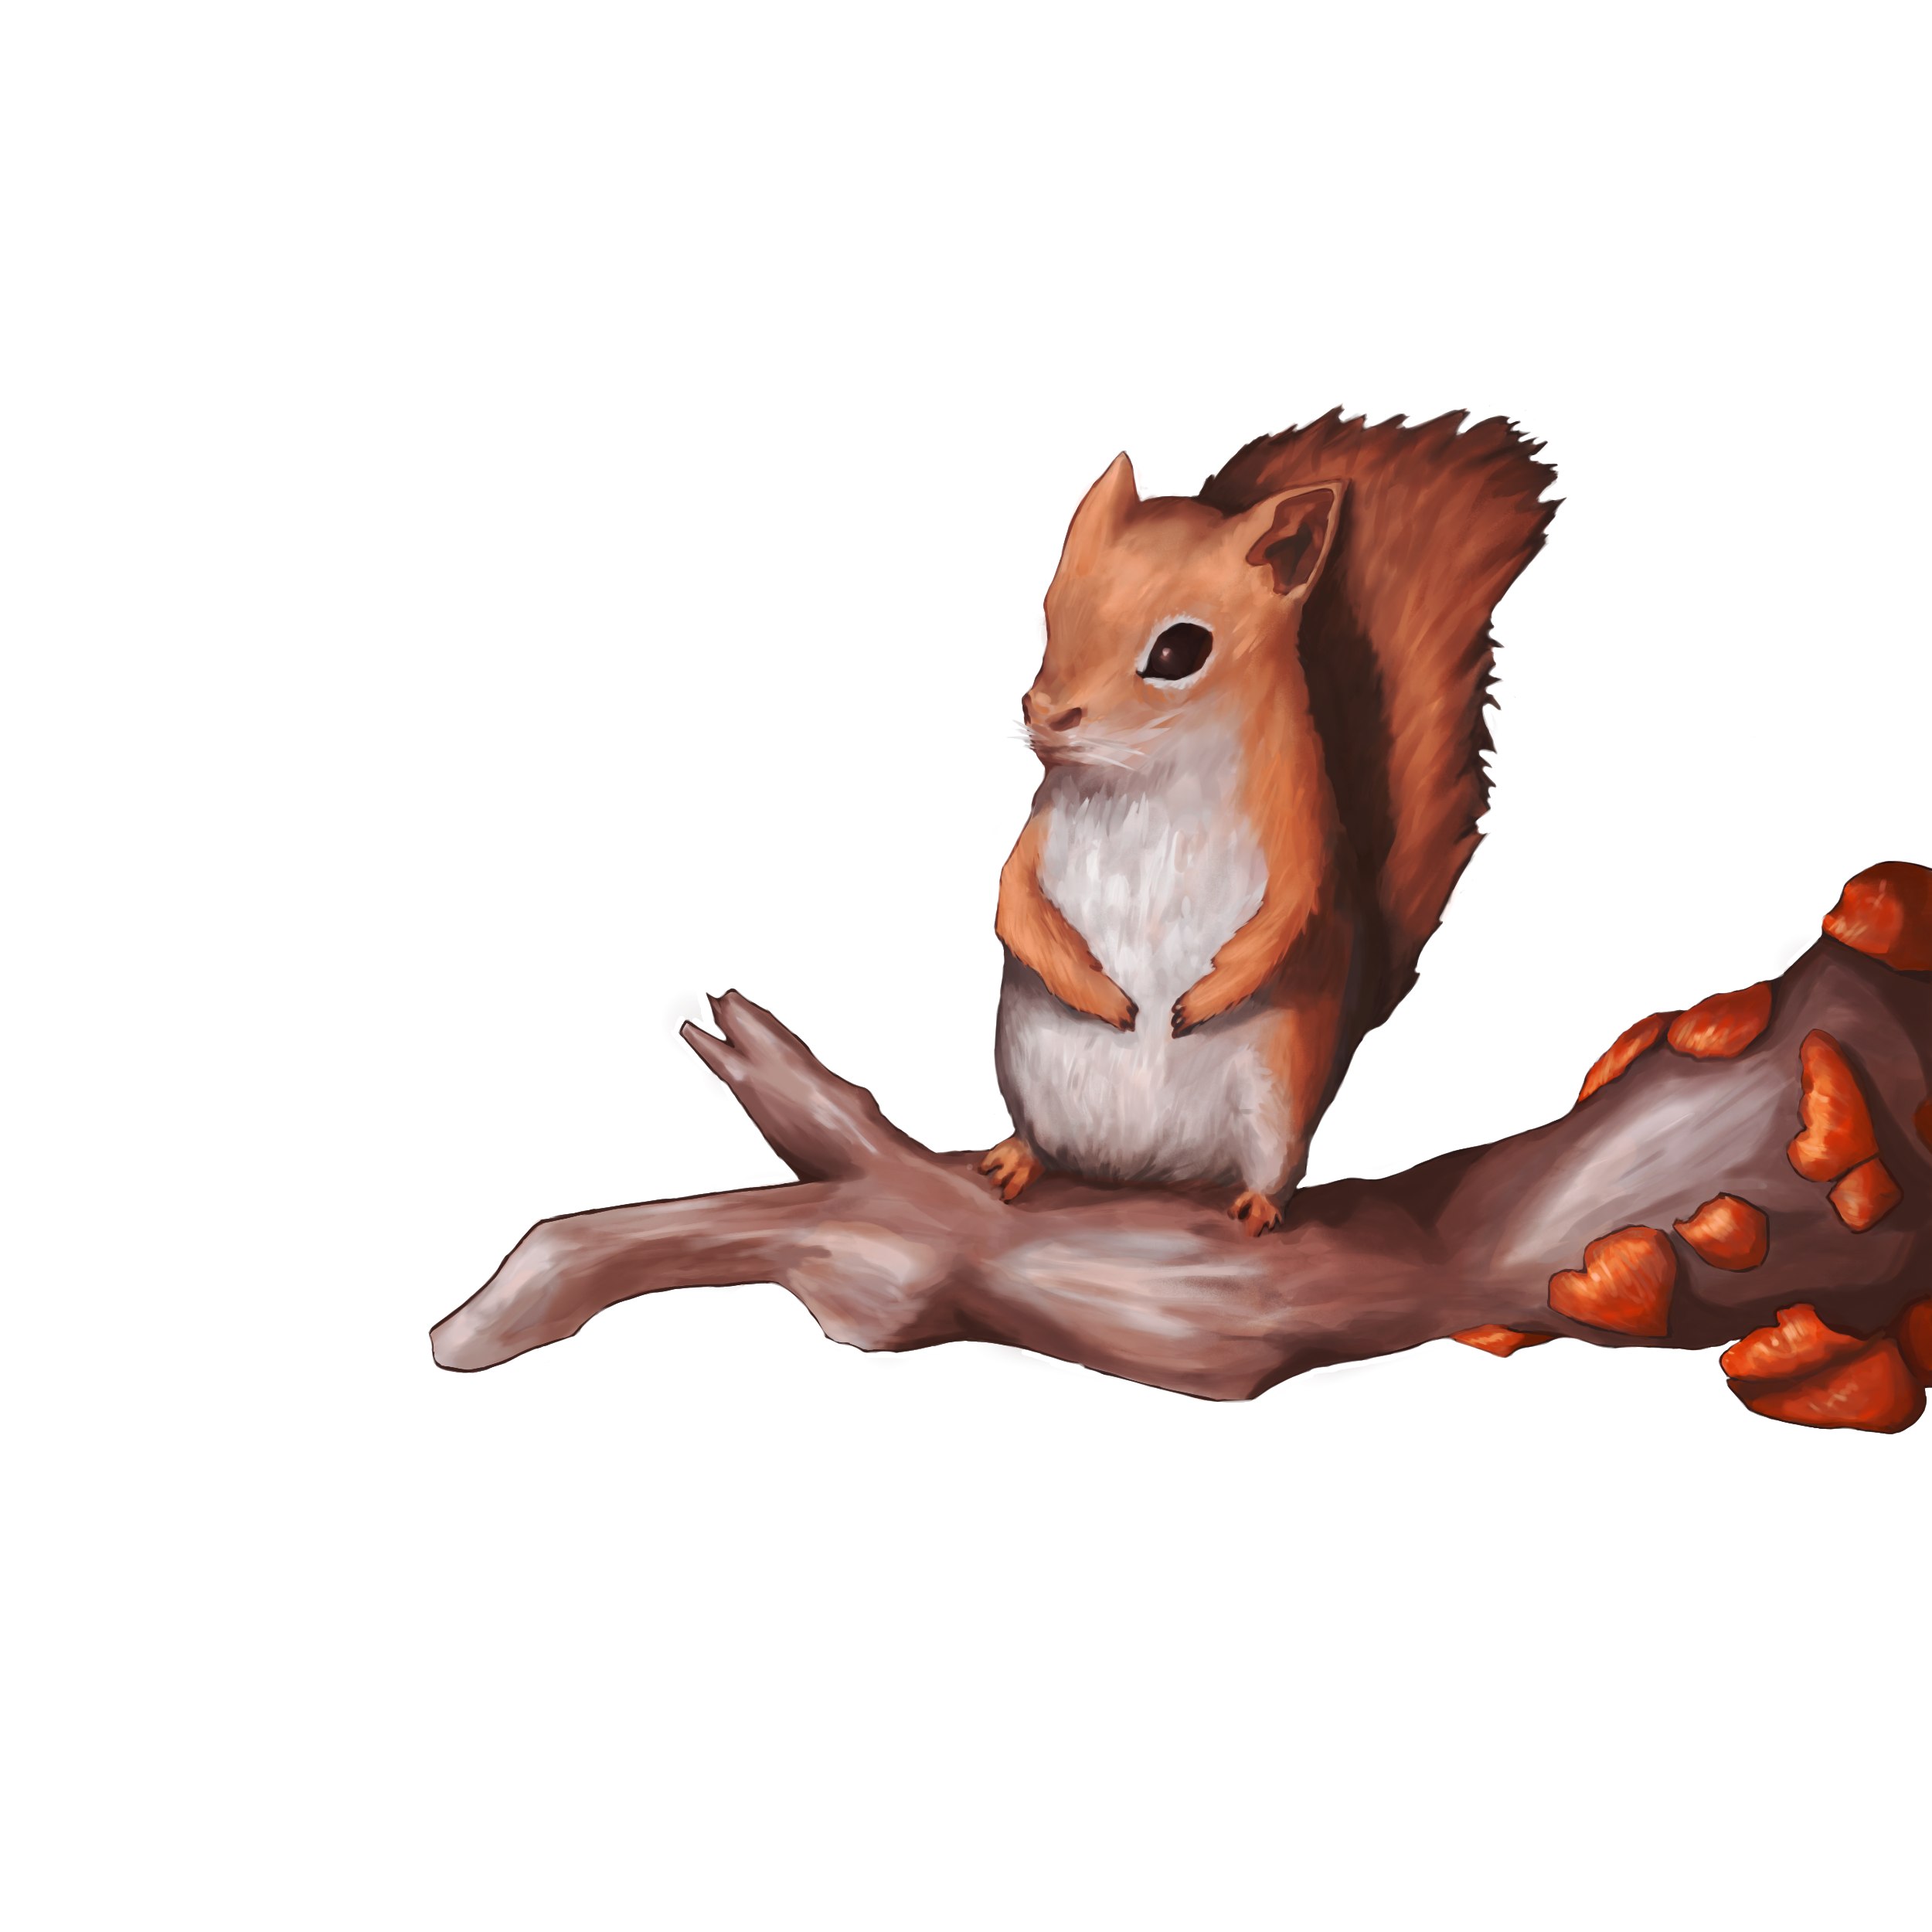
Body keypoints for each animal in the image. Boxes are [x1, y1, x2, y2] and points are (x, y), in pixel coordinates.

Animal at [981, 406, 1560, 1234]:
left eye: (1180, 650)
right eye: (1044, 620)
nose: (1046, 718)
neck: (1152, 773)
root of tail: (1142, 1173)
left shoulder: (1297, 823)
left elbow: (1294, 908)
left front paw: (1198, 1000)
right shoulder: (1041, 824)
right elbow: (1012, 900)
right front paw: (1105, 997)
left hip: (1277, 1099)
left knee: (1273, 1168)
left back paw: (1256, 1209)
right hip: (1030, 1084)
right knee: (1043, 1142)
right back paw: (1017, 1158)